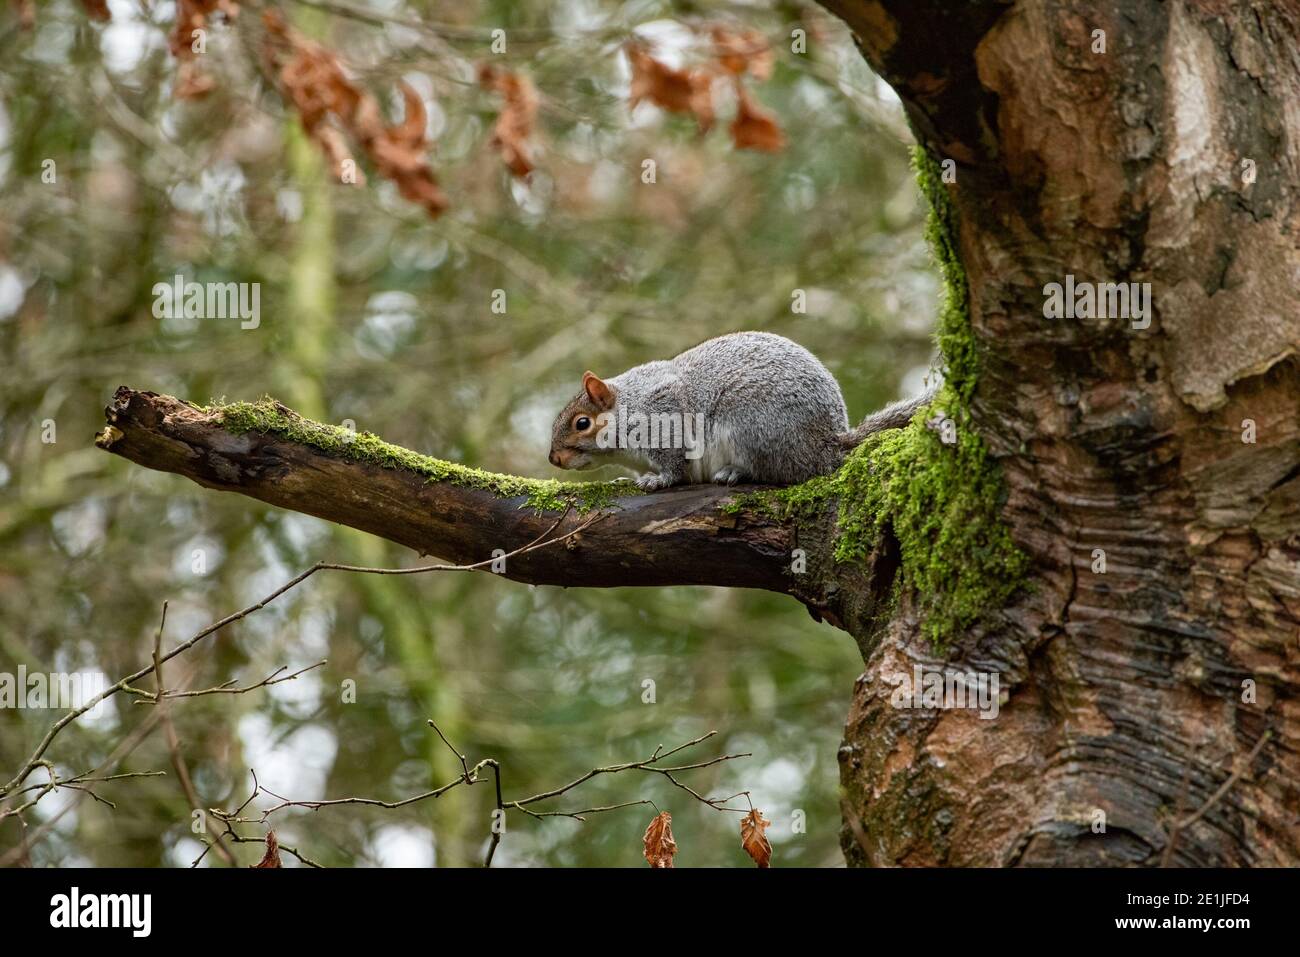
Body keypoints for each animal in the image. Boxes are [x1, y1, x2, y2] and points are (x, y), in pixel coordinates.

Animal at [548, 331, 936, 491]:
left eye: (582, 423)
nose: (553, 459)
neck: (631, 405)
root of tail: (826, 444)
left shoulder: (665, 418)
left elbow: (674, 467)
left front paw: (657, 480)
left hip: (750, 427)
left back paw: (735, 473)